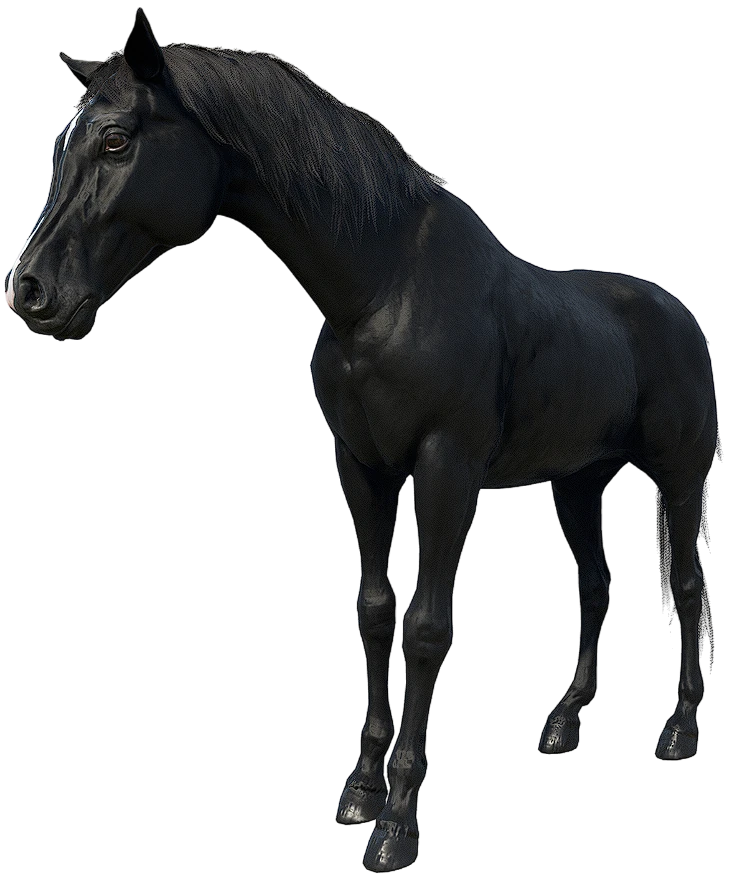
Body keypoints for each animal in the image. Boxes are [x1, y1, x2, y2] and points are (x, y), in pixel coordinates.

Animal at [5, 8, 720, 871]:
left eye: (115, 139)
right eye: (61, 141)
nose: (31, 291)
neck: (384, 289)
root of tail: (678, 316)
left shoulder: (445, 466)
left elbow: (424, 628)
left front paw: (398, 825)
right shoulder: (362, 468)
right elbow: (376, 612)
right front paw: (360, 792)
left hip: (676, 478)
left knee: (684, 587)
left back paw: (678, 733)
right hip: (578, 482)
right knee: (593, 587)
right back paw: (561, 724)